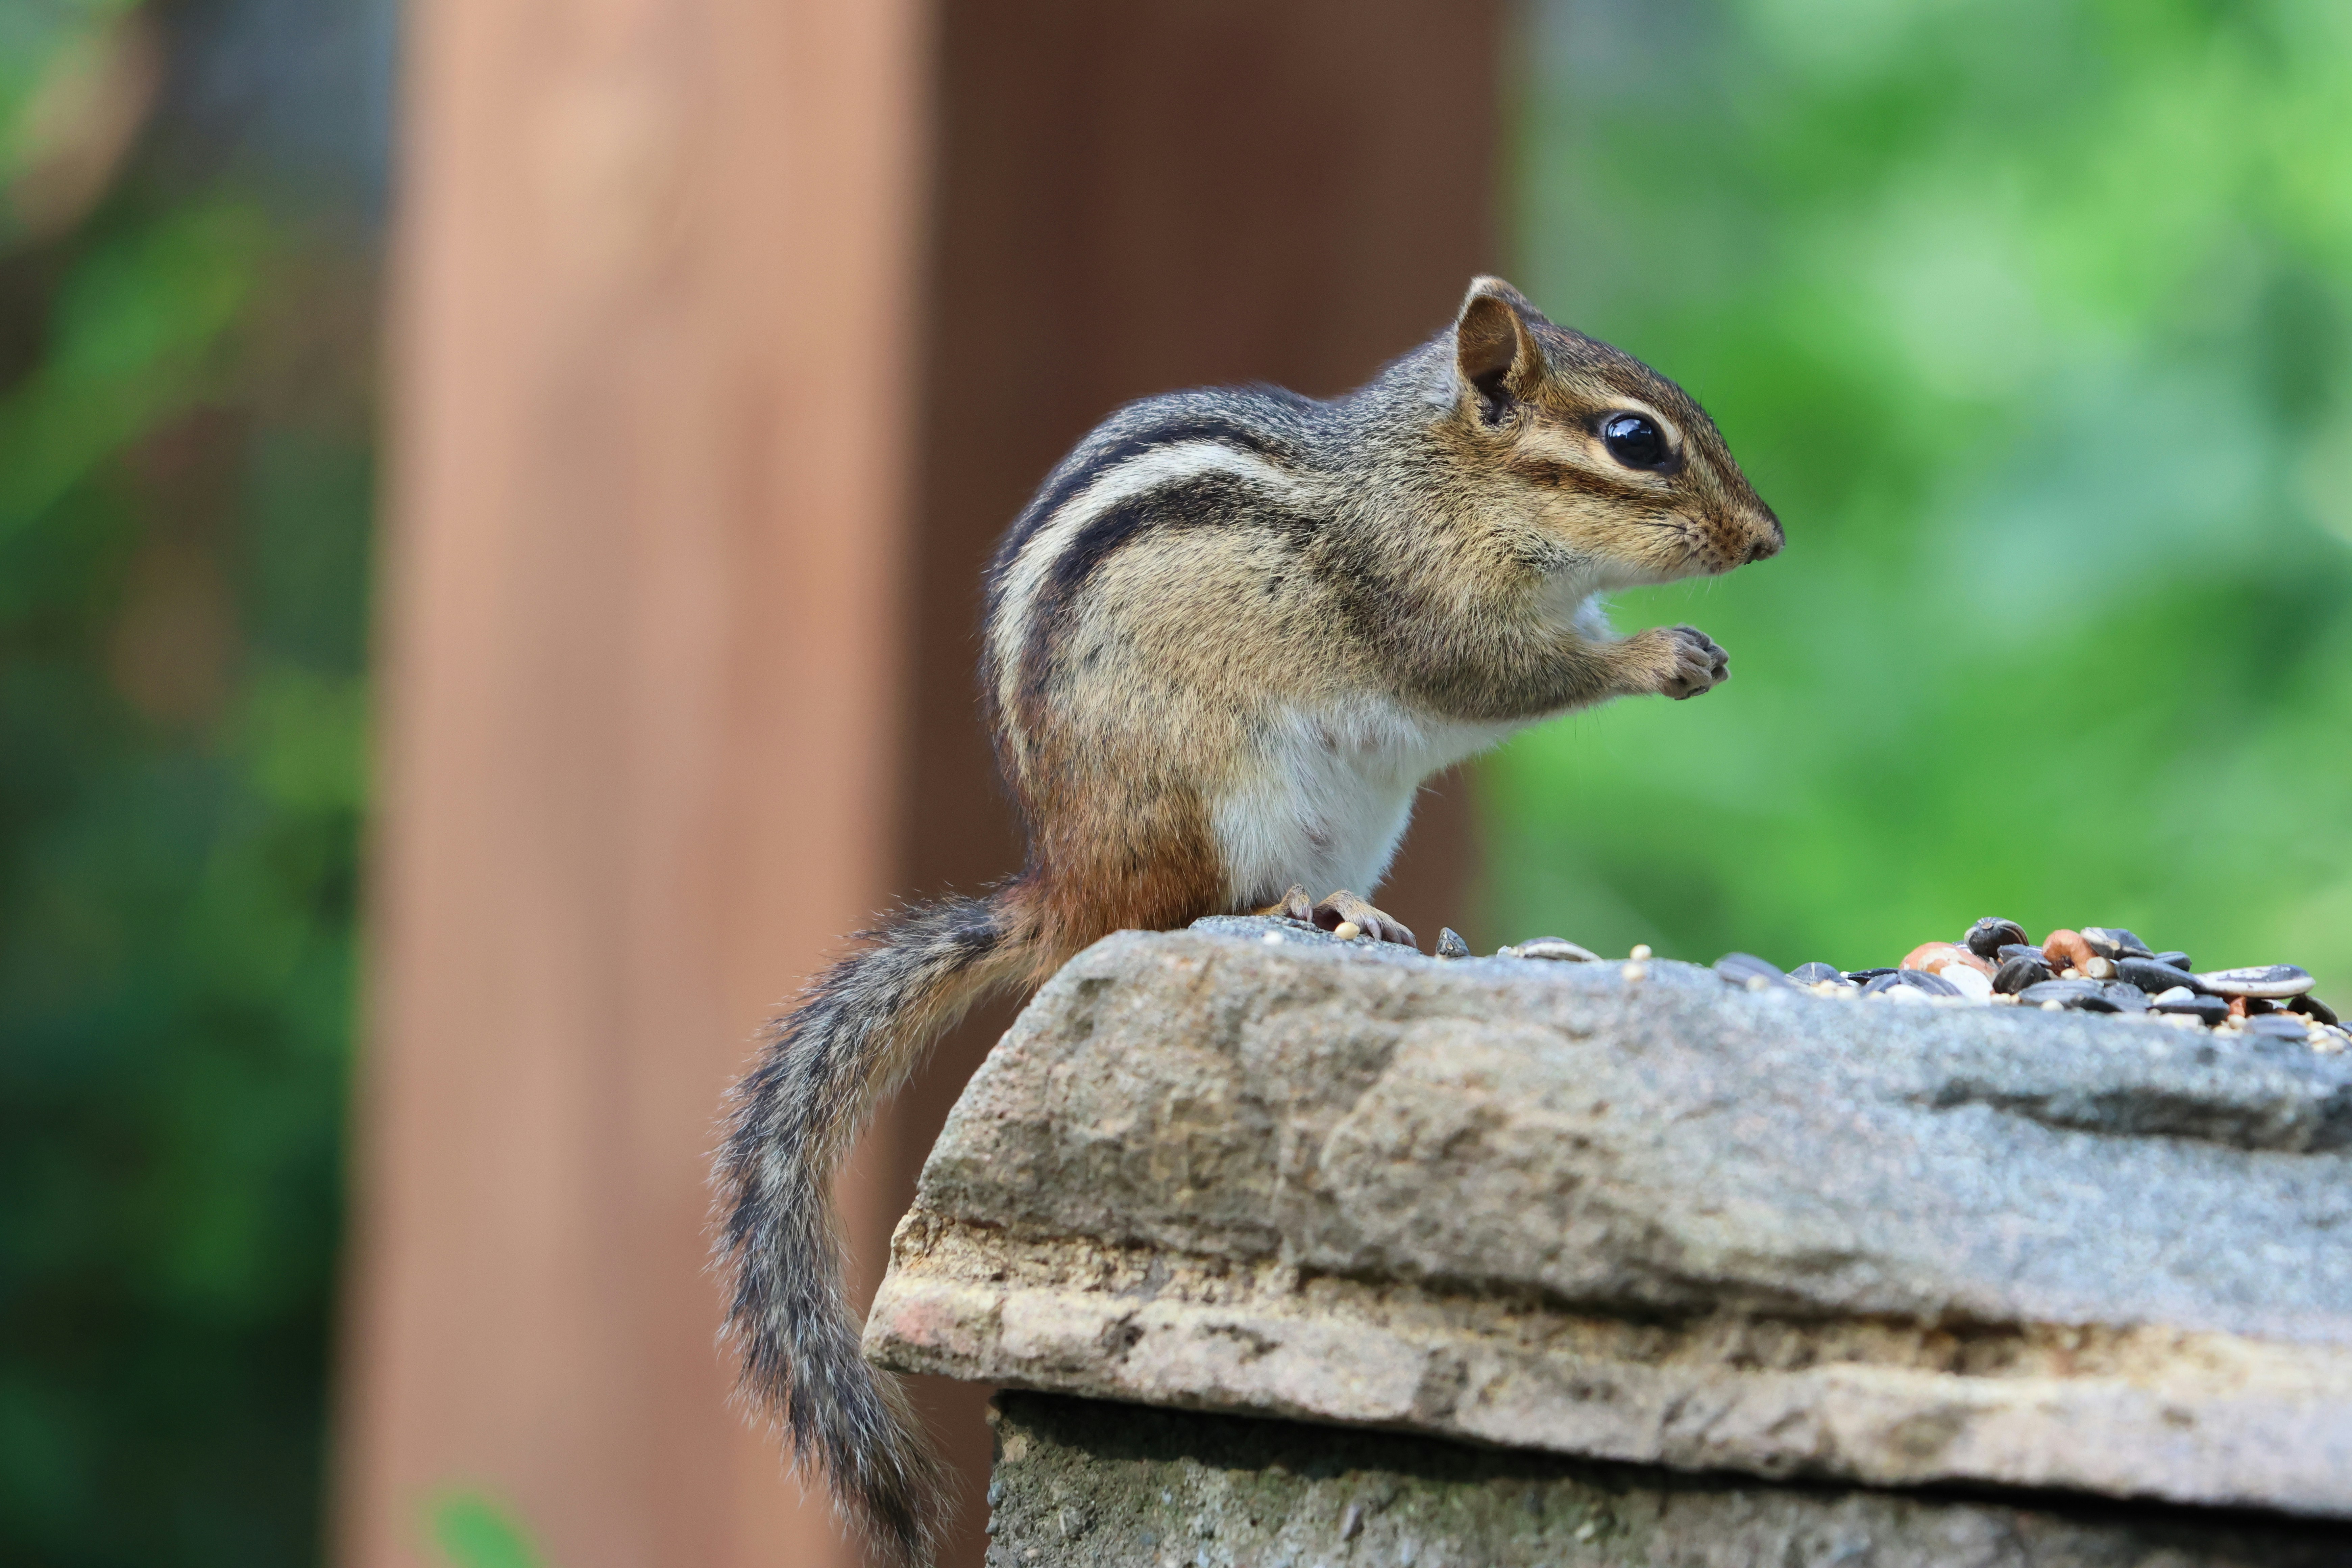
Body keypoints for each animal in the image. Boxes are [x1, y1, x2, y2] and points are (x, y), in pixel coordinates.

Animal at [712, 276, 1781, 1565]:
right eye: (1634, 440)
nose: (1768, 540)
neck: (1438, 481)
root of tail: (1064, 887)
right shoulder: (1430, 608)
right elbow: (1502, 675)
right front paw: (1660, 654)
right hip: (1228, 796)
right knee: (1190, 909)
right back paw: (1298, 904)